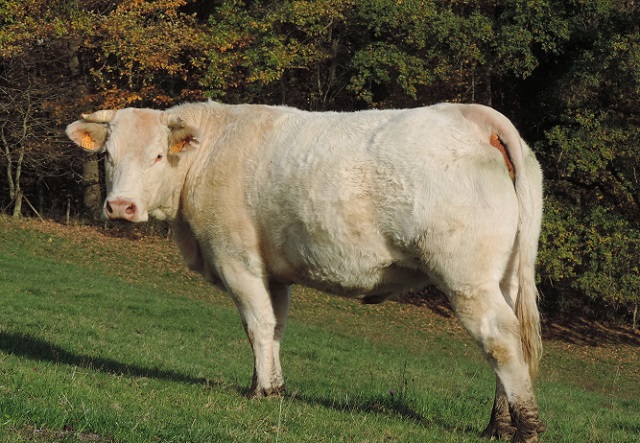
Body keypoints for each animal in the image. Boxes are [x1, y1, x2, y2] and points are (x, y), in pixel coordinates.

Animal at [66, 101, 544, 443]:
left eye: (157, 155)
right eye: (107, 155)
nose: (120, 207)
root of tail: (474, 113)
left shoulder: (236, 258)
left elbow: (257, 324)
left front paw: (262, 392)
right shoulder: (272, 271)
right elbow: (274, 326)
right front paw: (271, 385)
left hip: (466, 276)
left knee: (500, 338)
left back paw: (527, 427)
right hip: (504, 276)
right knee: (512, 338)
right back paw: (498, 426)